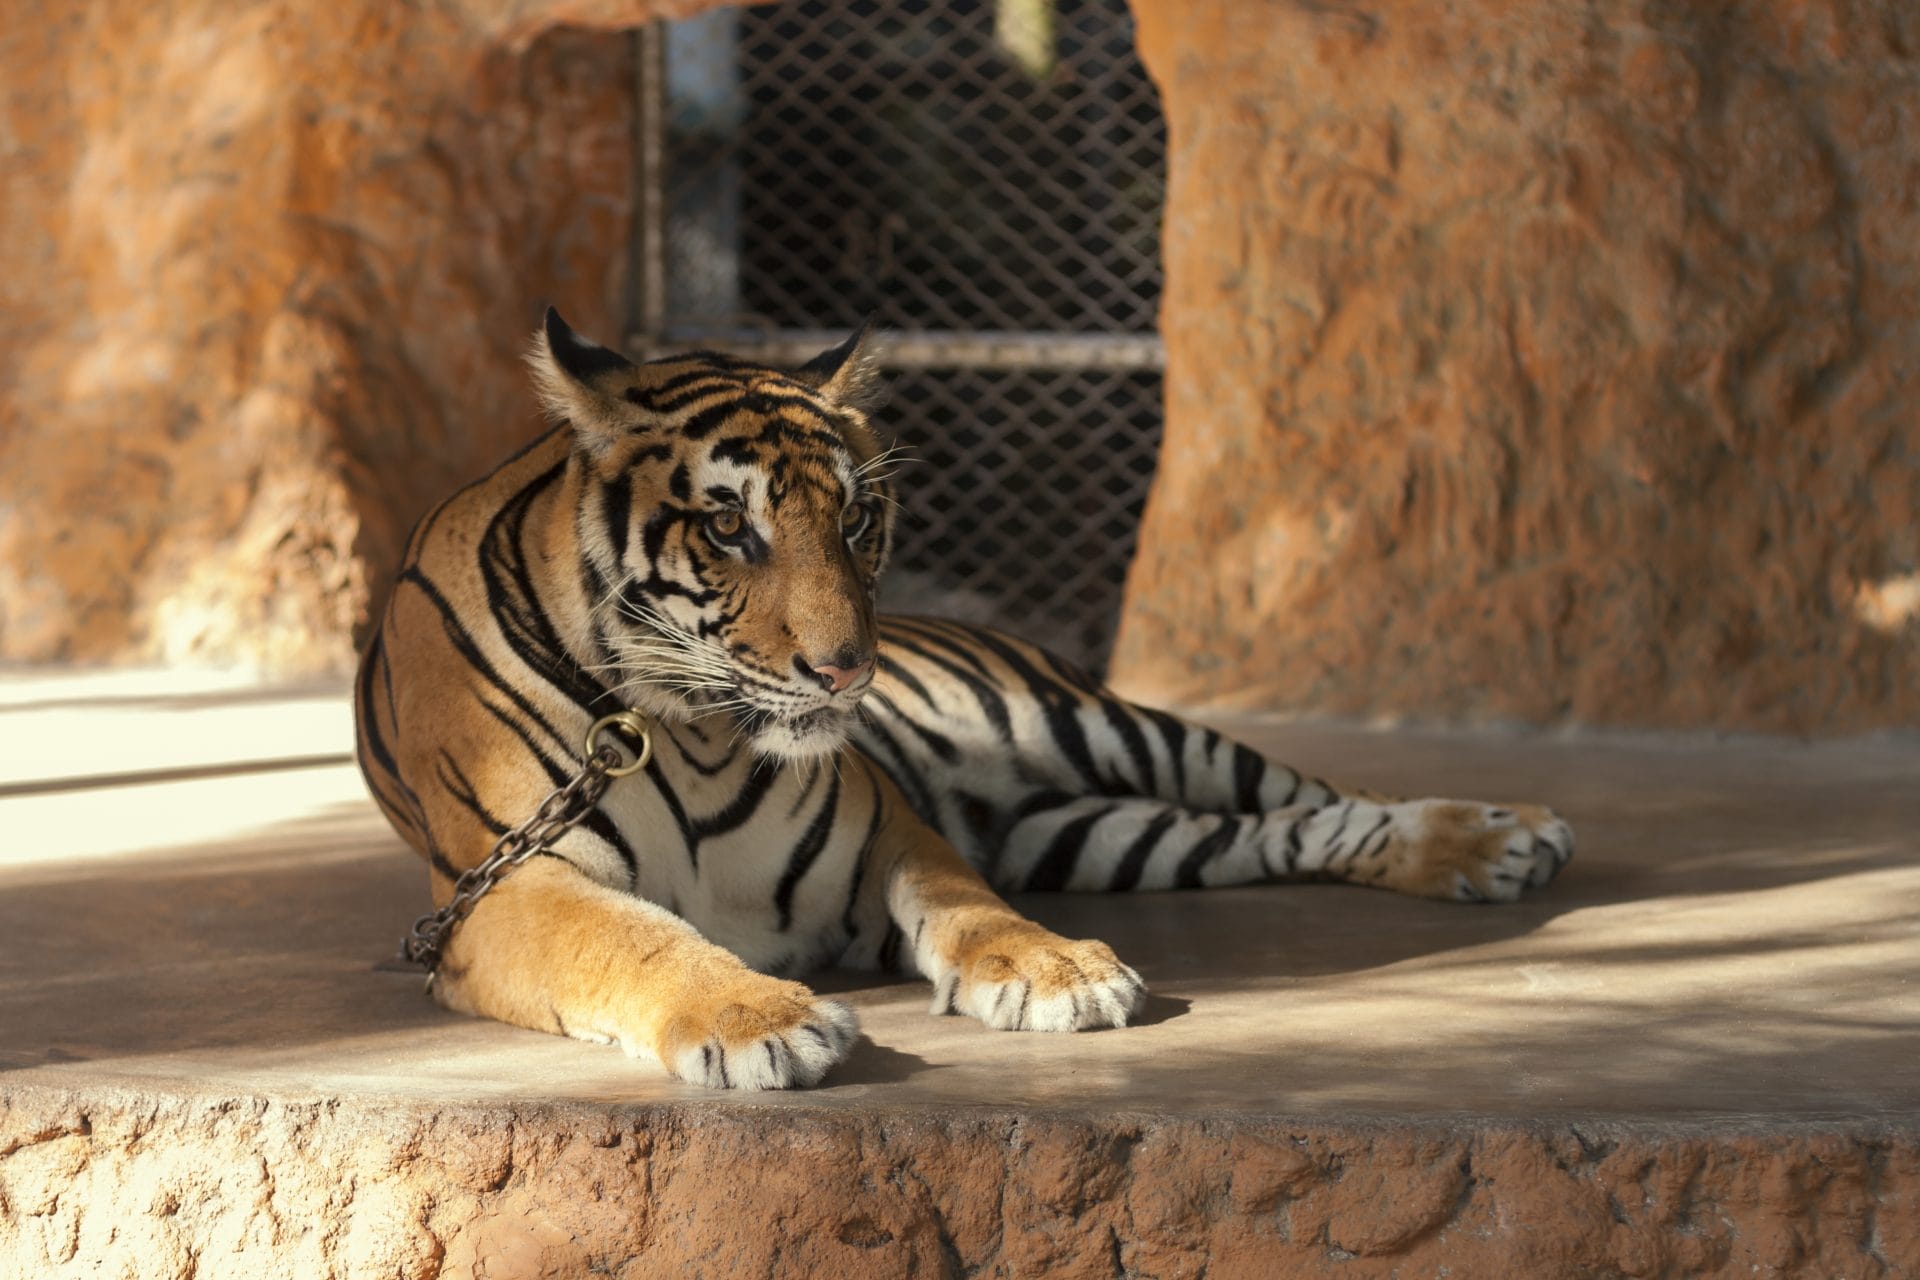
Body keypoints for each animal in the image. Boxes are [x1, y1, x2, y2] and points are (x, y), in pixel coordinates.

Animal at [352, 308, 1574, 1090]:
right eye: (729, 524)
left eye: (854, 519)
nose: (847, 670)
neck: (692, 730)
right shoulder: (511, 886)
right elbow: (638, 940)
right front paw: (761, 1020)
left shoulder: (887, 825)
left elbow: (970, 903)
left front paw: (1060, 971)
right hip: (1096, 834)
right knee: (1268, 833)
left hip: (1114, 729)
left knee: (1312, 793)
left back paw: (1500, 835)